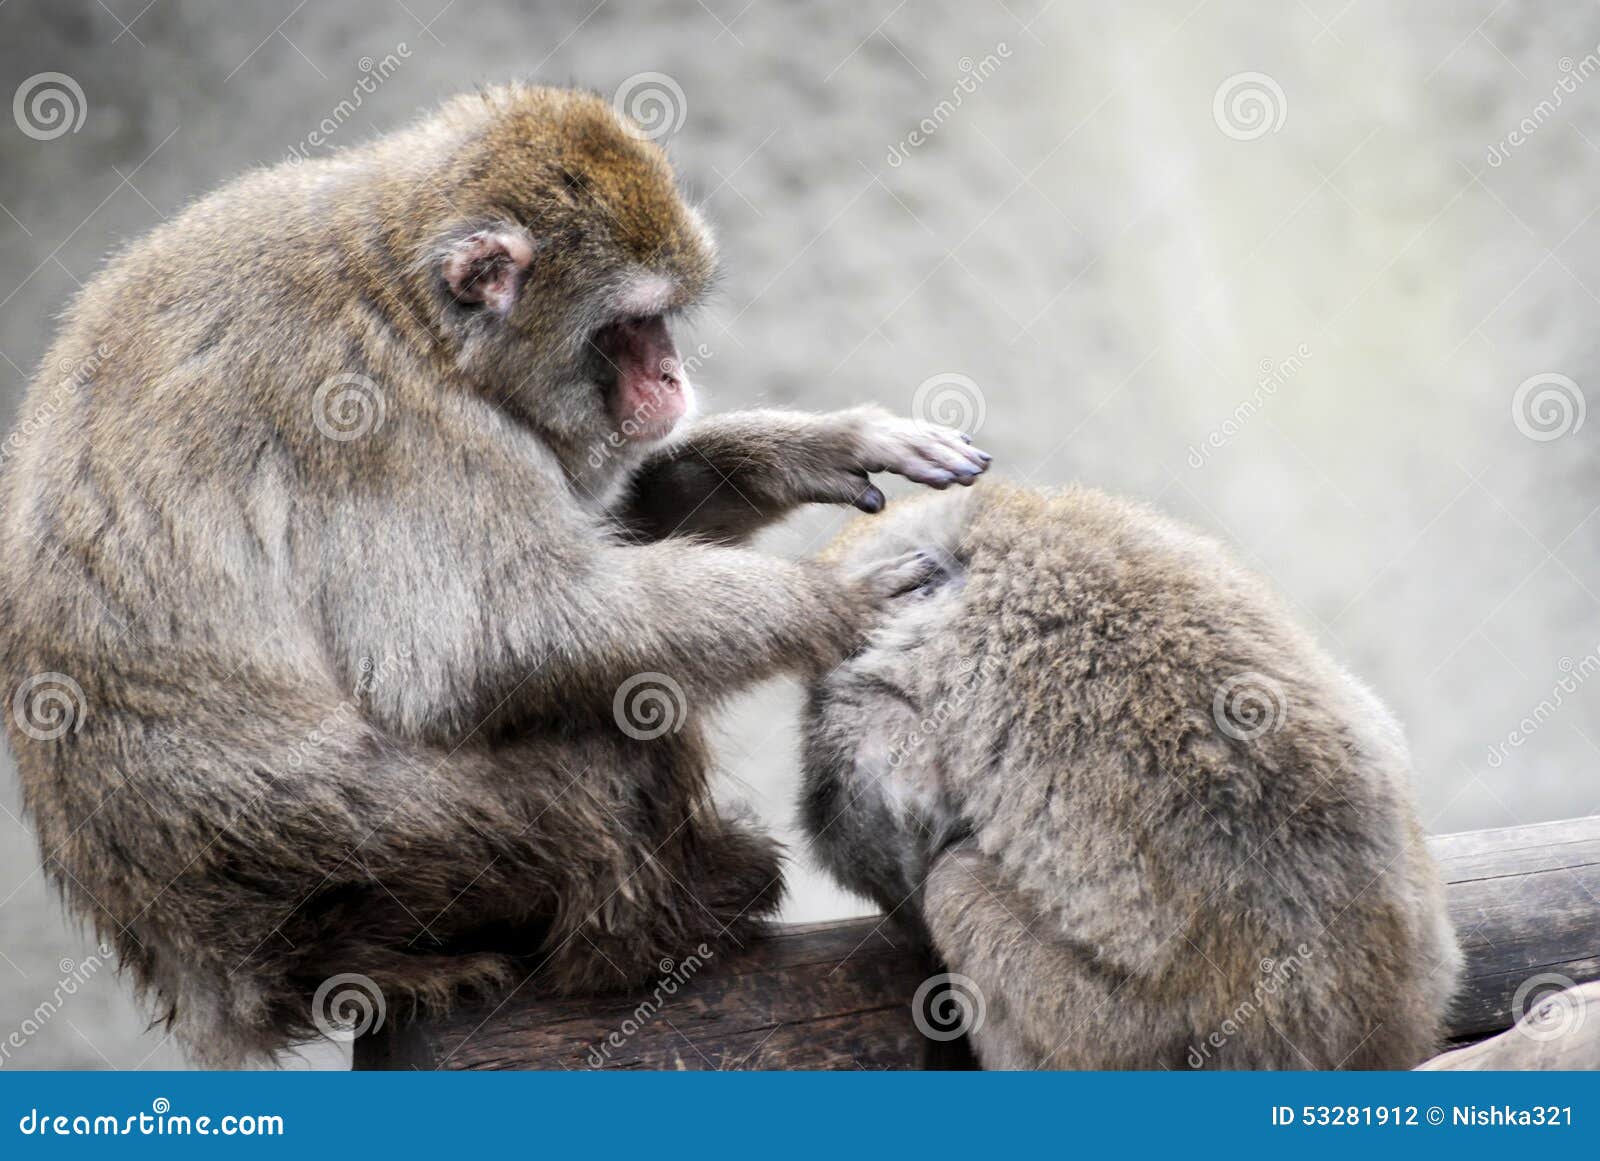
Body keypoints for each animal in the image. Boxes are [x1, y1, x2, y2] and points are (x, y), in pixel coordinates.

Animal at [0, 84, 992, 1066]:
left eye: (662, 322)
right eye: (630, 326)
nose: (671, 375)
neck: (403, 299)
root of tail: (203, 970)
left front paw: (813, 446)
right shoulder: (387, 415)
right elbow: (478, 650)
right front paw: (830, 603)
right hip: (342, 858)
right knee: (604, 734)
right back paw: (654, 933)